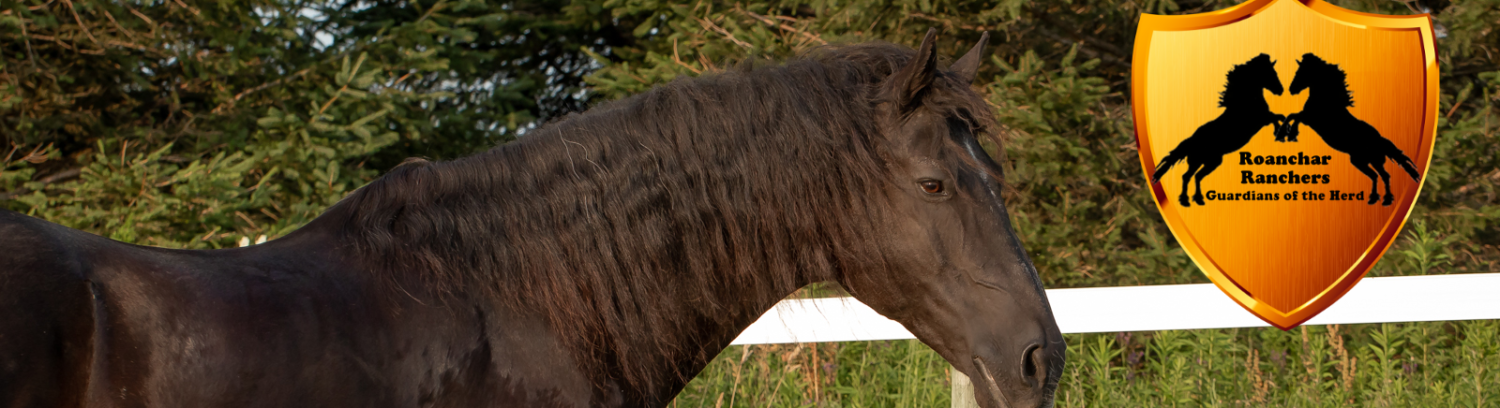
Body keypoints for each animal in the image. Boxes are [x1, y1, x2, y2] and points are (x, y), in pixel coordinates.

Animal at [1151, 54, 1287, 207]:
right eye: (1271, 73)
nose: (1280, 90)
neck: (1245, 101)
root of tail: (1191, 141)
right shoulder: (1262, 119)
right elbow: (1279, 118)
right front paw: (1282, 133)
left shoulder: (1264, 119)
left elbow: (1279, 117)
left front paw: (1281, 133)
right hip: (1210, 161)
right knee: (1194, 176)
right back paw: (1195, 200)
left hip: (1199, 162)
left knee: (1189, 176)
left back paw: (1189, 200)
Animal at [1284, 53, 1420, 206]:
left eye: (1300, 72)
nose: (1291, 89)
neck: (1327, 100)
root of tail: (1379, 141)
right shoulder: (1307, 118)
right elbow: (1293, 116)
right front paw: (1289, 134)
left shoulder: (1309, 119)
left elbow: (1293, 116)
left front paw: (1288, 134)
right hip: (1369, 161)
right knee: (1381, 176)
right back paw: (1380, 199)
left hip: (1363, 161)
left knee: (1379, 176)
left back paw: (1380, 199)